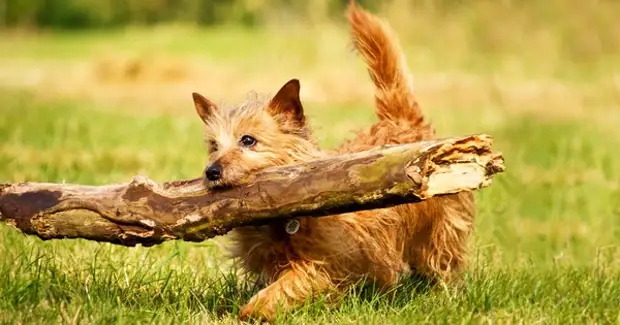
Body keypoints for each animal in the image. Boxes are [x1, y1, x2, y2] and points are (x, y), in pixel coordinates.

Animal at [191, 0, 472, 322]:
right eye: (213, 146)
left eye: (248, 140)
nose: (212, 172)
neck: (278, 223)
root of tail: (402, 122)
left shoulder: (327, 264)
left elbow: (292, 282)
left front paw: (255, 309)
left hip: (441, 231)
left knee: (442, 261)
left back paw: (443, 295)